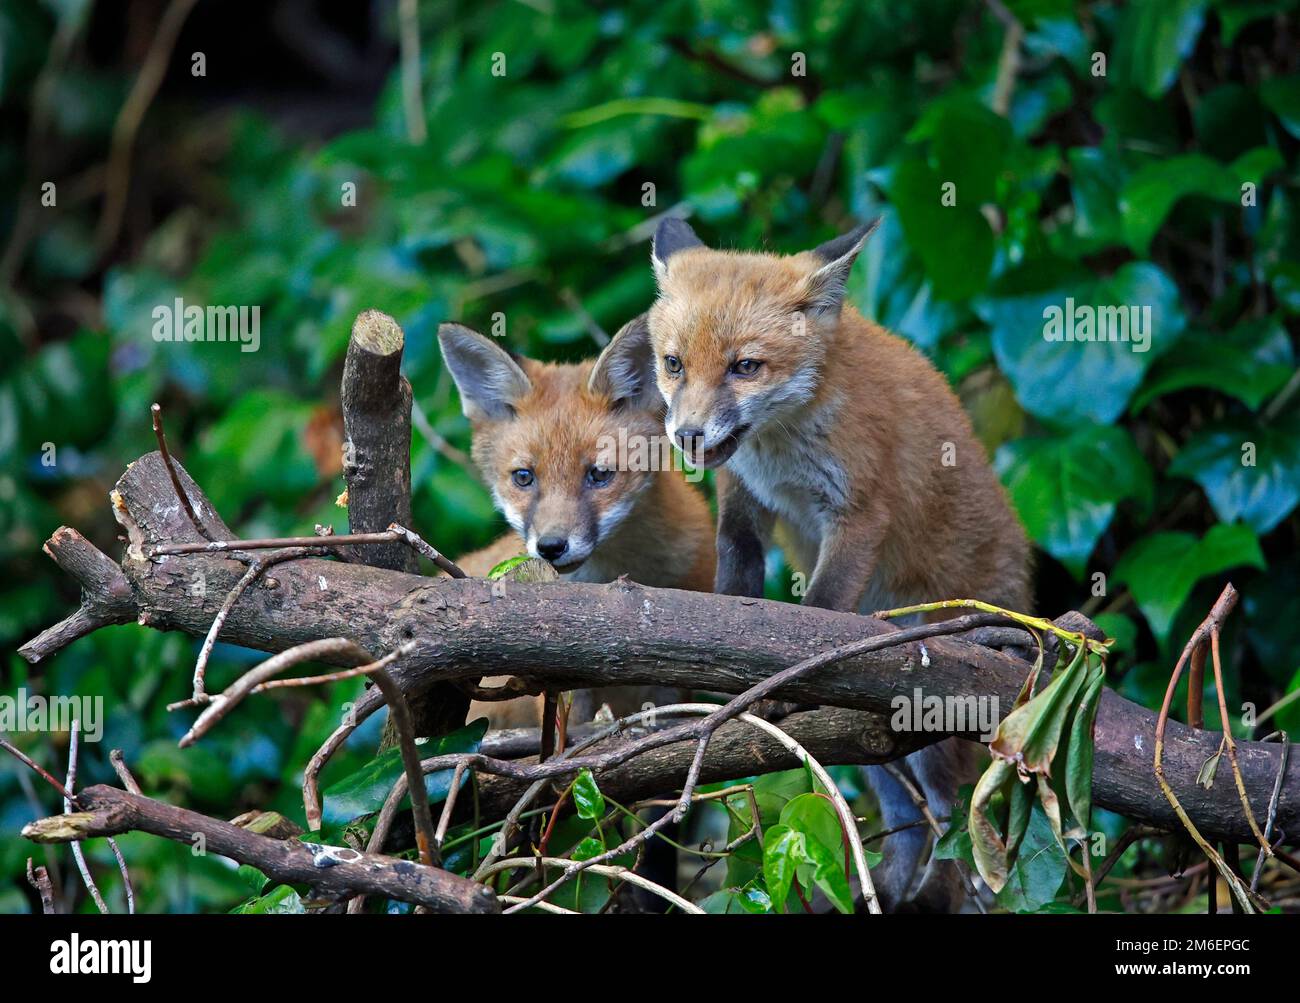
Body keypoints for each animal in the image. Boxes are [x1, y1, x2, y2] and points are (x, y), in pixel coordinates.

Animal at [645, 217, 1032, 911]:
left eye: (745, 367)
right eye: (674, 363)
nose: (687, 434)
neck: (780, 451)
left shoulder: (858, 513)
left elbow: (820, 609)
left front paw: (780, 682)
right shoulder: (743, 501)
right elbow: (735, 578)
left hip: (931, 728)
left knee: (954, 827)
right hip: (867, 746)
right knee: (909, 826)